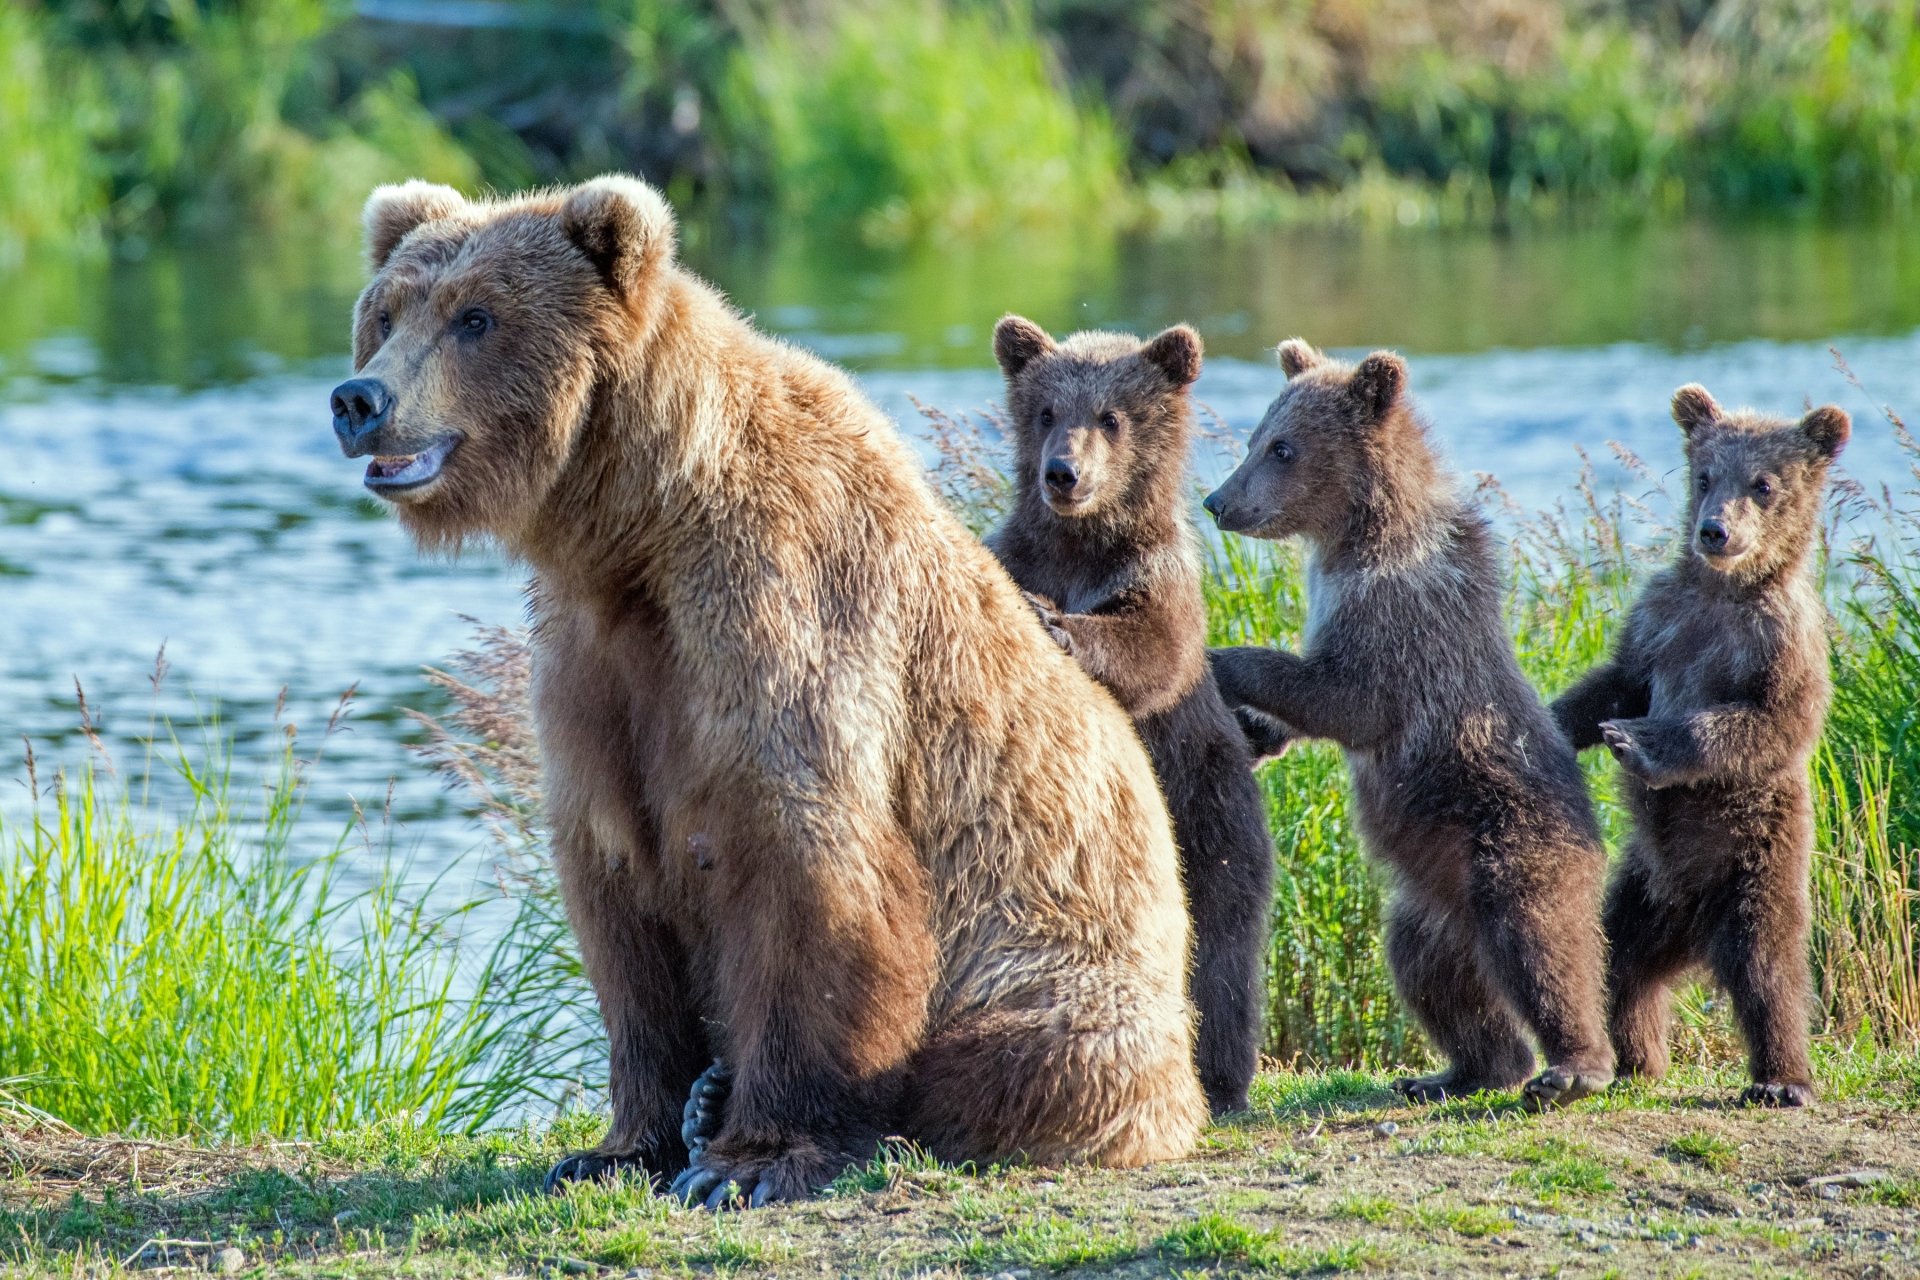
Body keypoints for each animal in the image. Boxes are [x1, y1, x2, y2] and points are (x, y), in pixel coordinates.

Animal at [328, 175, 1207, 1205]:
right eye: (387, 313)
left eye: (475, 317)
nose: (360, 399)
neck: (638, 530)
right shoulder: (594, 667)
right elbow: (614, 899)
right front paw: (616, 1144)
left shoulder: (780, 612)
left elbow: (809, 871)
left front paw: (747, 1161)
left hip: (1064, 962)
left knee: (1021, 1054)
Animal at [983, 315, 1279, 1117]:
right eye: (1045, 410)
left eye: (1112, 416)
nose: (1063, 473)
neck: (1081, 547)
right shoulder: (1015, 553)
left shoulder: (1158, 578)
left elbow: (1151, 646)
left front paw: (1056, 623)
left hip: (1209, 810)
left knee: (1220, 942)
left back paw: (1219, 1077)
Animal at [1202, 339, 1615, 1109]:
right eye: (1253, 439)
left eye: (1281, 447)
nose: (1218, 501)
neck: (1355, 535)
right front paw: (1256, 732)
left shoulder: (1399, 617)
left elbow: (1346, 698)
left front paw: (1221, 660)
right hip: (1428, 902)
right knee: (1433, 975)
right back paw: (1458, 1070)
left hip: (1512, 838)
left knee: (1541, 941)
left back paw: (1574, 1067)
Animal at [1552, 385, 1850, 1108]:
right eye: (1705, 475)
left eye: (1764, 483)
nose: (1714, 530)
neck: (1724, 590)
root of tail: (1693, 930)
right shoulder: (1661, 618)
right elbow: (1617, 683)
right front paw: (1557, 720)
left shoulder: (1782, 641)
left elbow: (1763, 722)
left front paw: (1636, 741)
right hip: (1643, 889)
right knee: (1621, 962)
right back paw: (1638, 1059)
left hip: (1755, 865)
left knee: (1768, 968)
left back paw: (1782, 1079)